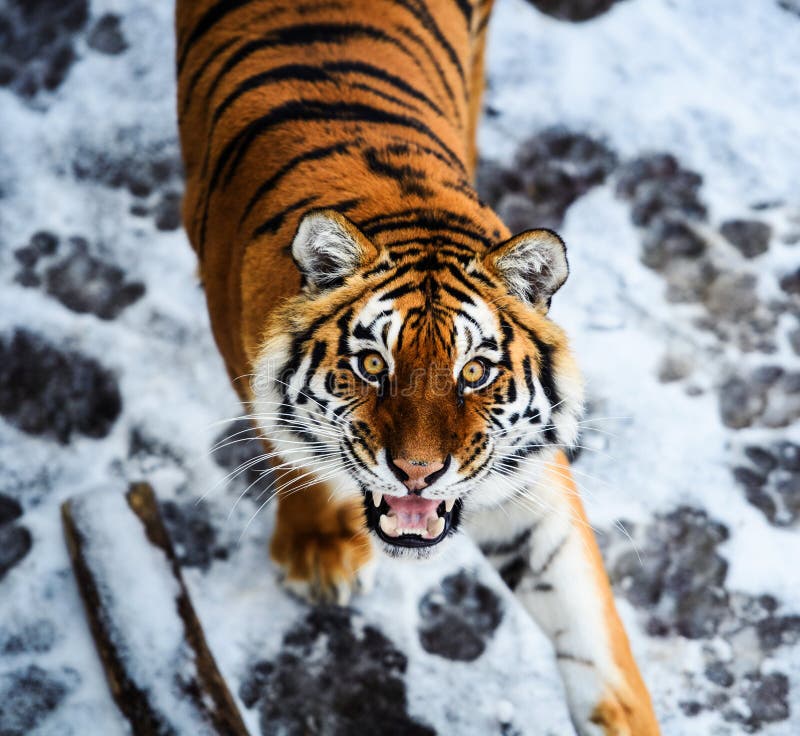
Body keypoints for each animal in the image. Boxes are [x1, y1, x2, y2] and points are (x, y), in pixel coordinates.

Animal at [175, 0, 659, 733]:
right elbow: (294, 458)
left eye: (475, 372)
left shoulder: (522, 479)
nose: (418, 473)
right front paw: (322, 554)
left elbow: (593, 634)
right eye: (372, 364)